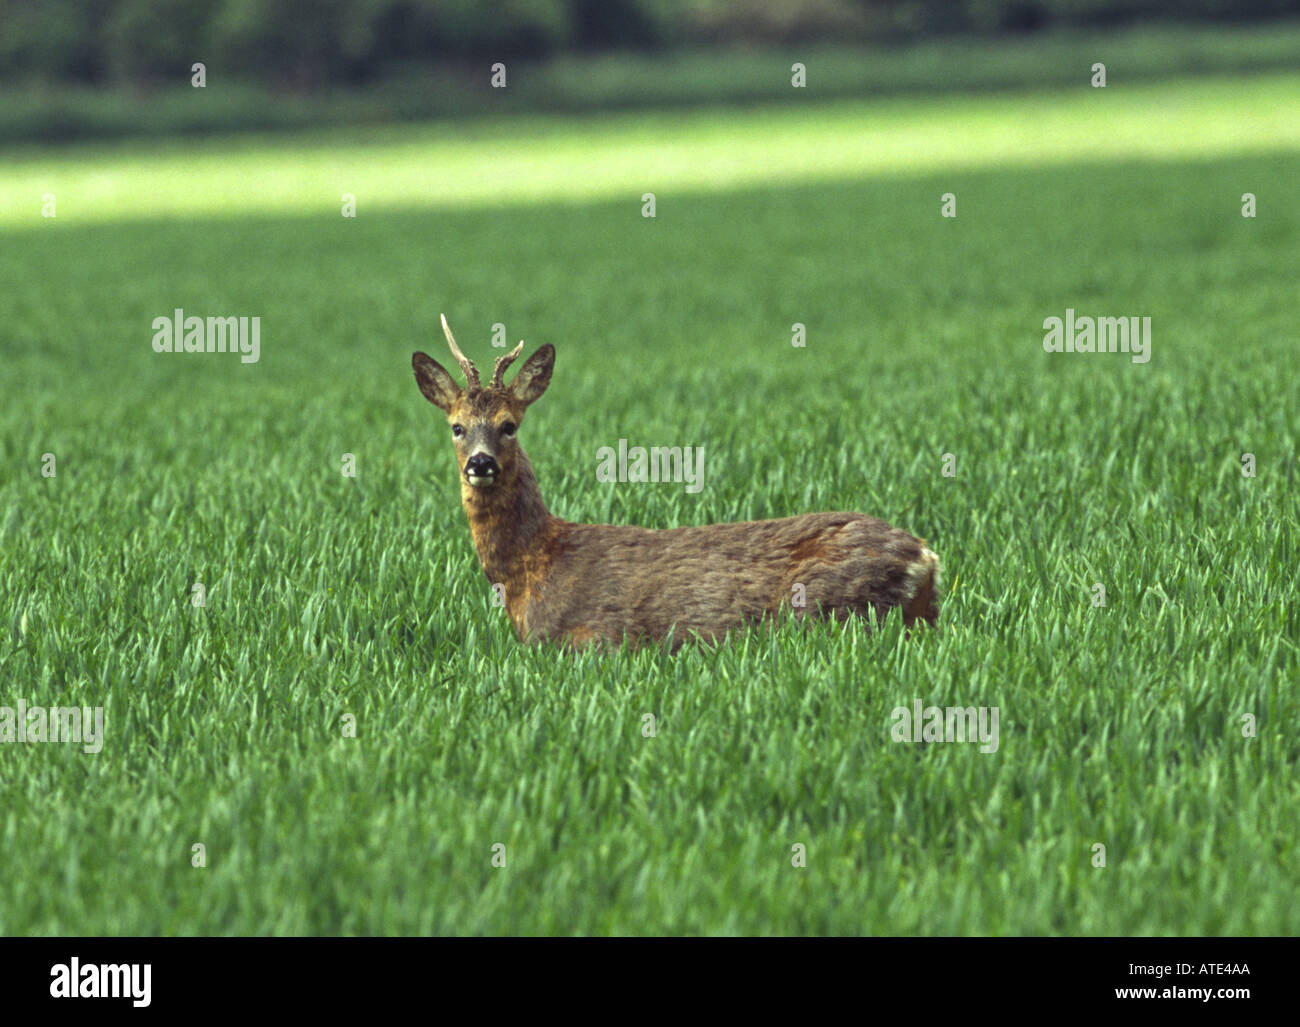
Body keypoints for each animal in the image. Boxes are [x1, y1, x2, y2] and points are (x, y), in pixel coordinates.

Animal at [412, 316, 941, 651]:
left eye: (509, 425)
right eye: (457, 426)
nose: (481, 463)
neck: (534, 566)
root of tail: (925, 555)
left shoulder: (595, 639)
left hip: (820, 604)